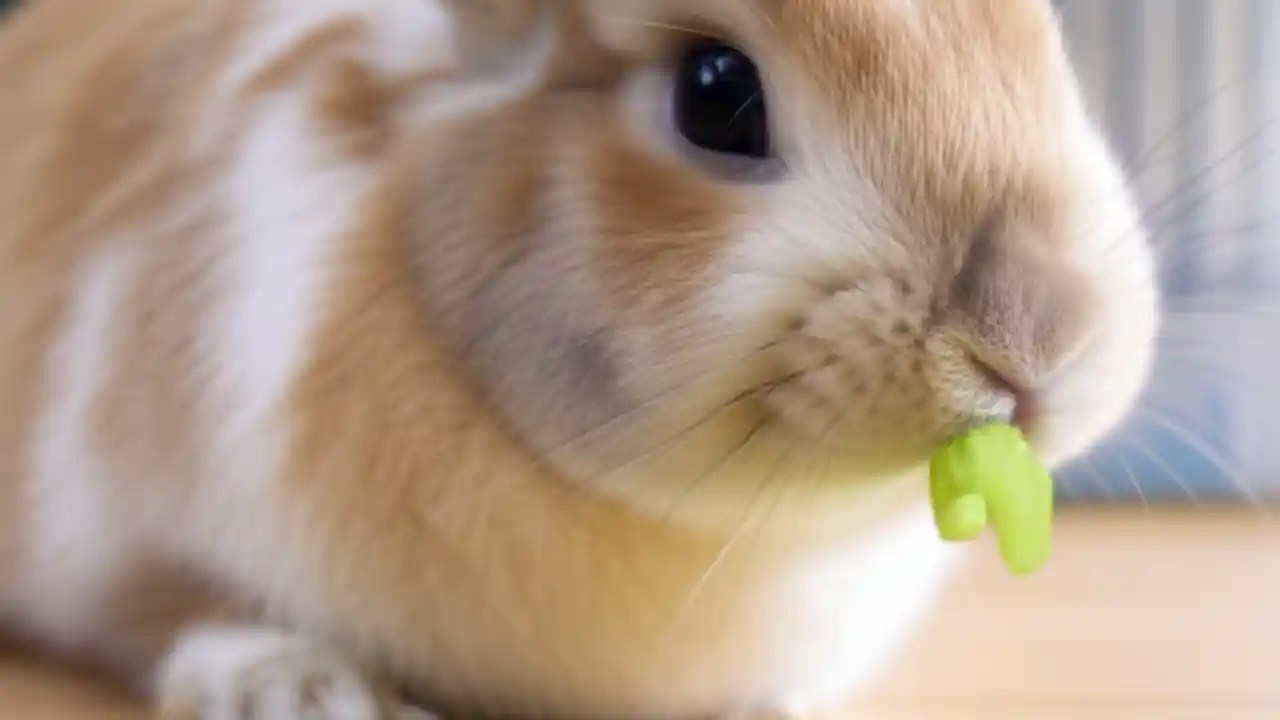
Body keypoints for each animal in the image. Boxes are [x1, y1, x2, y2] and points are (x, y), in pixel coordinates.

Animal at [0, 0, 1158, 718]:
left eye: (1041, 40)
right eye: (715, 93)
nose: (1040, 335)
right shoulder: (109, 502)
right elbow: (172, 603)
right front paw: (296, 689)